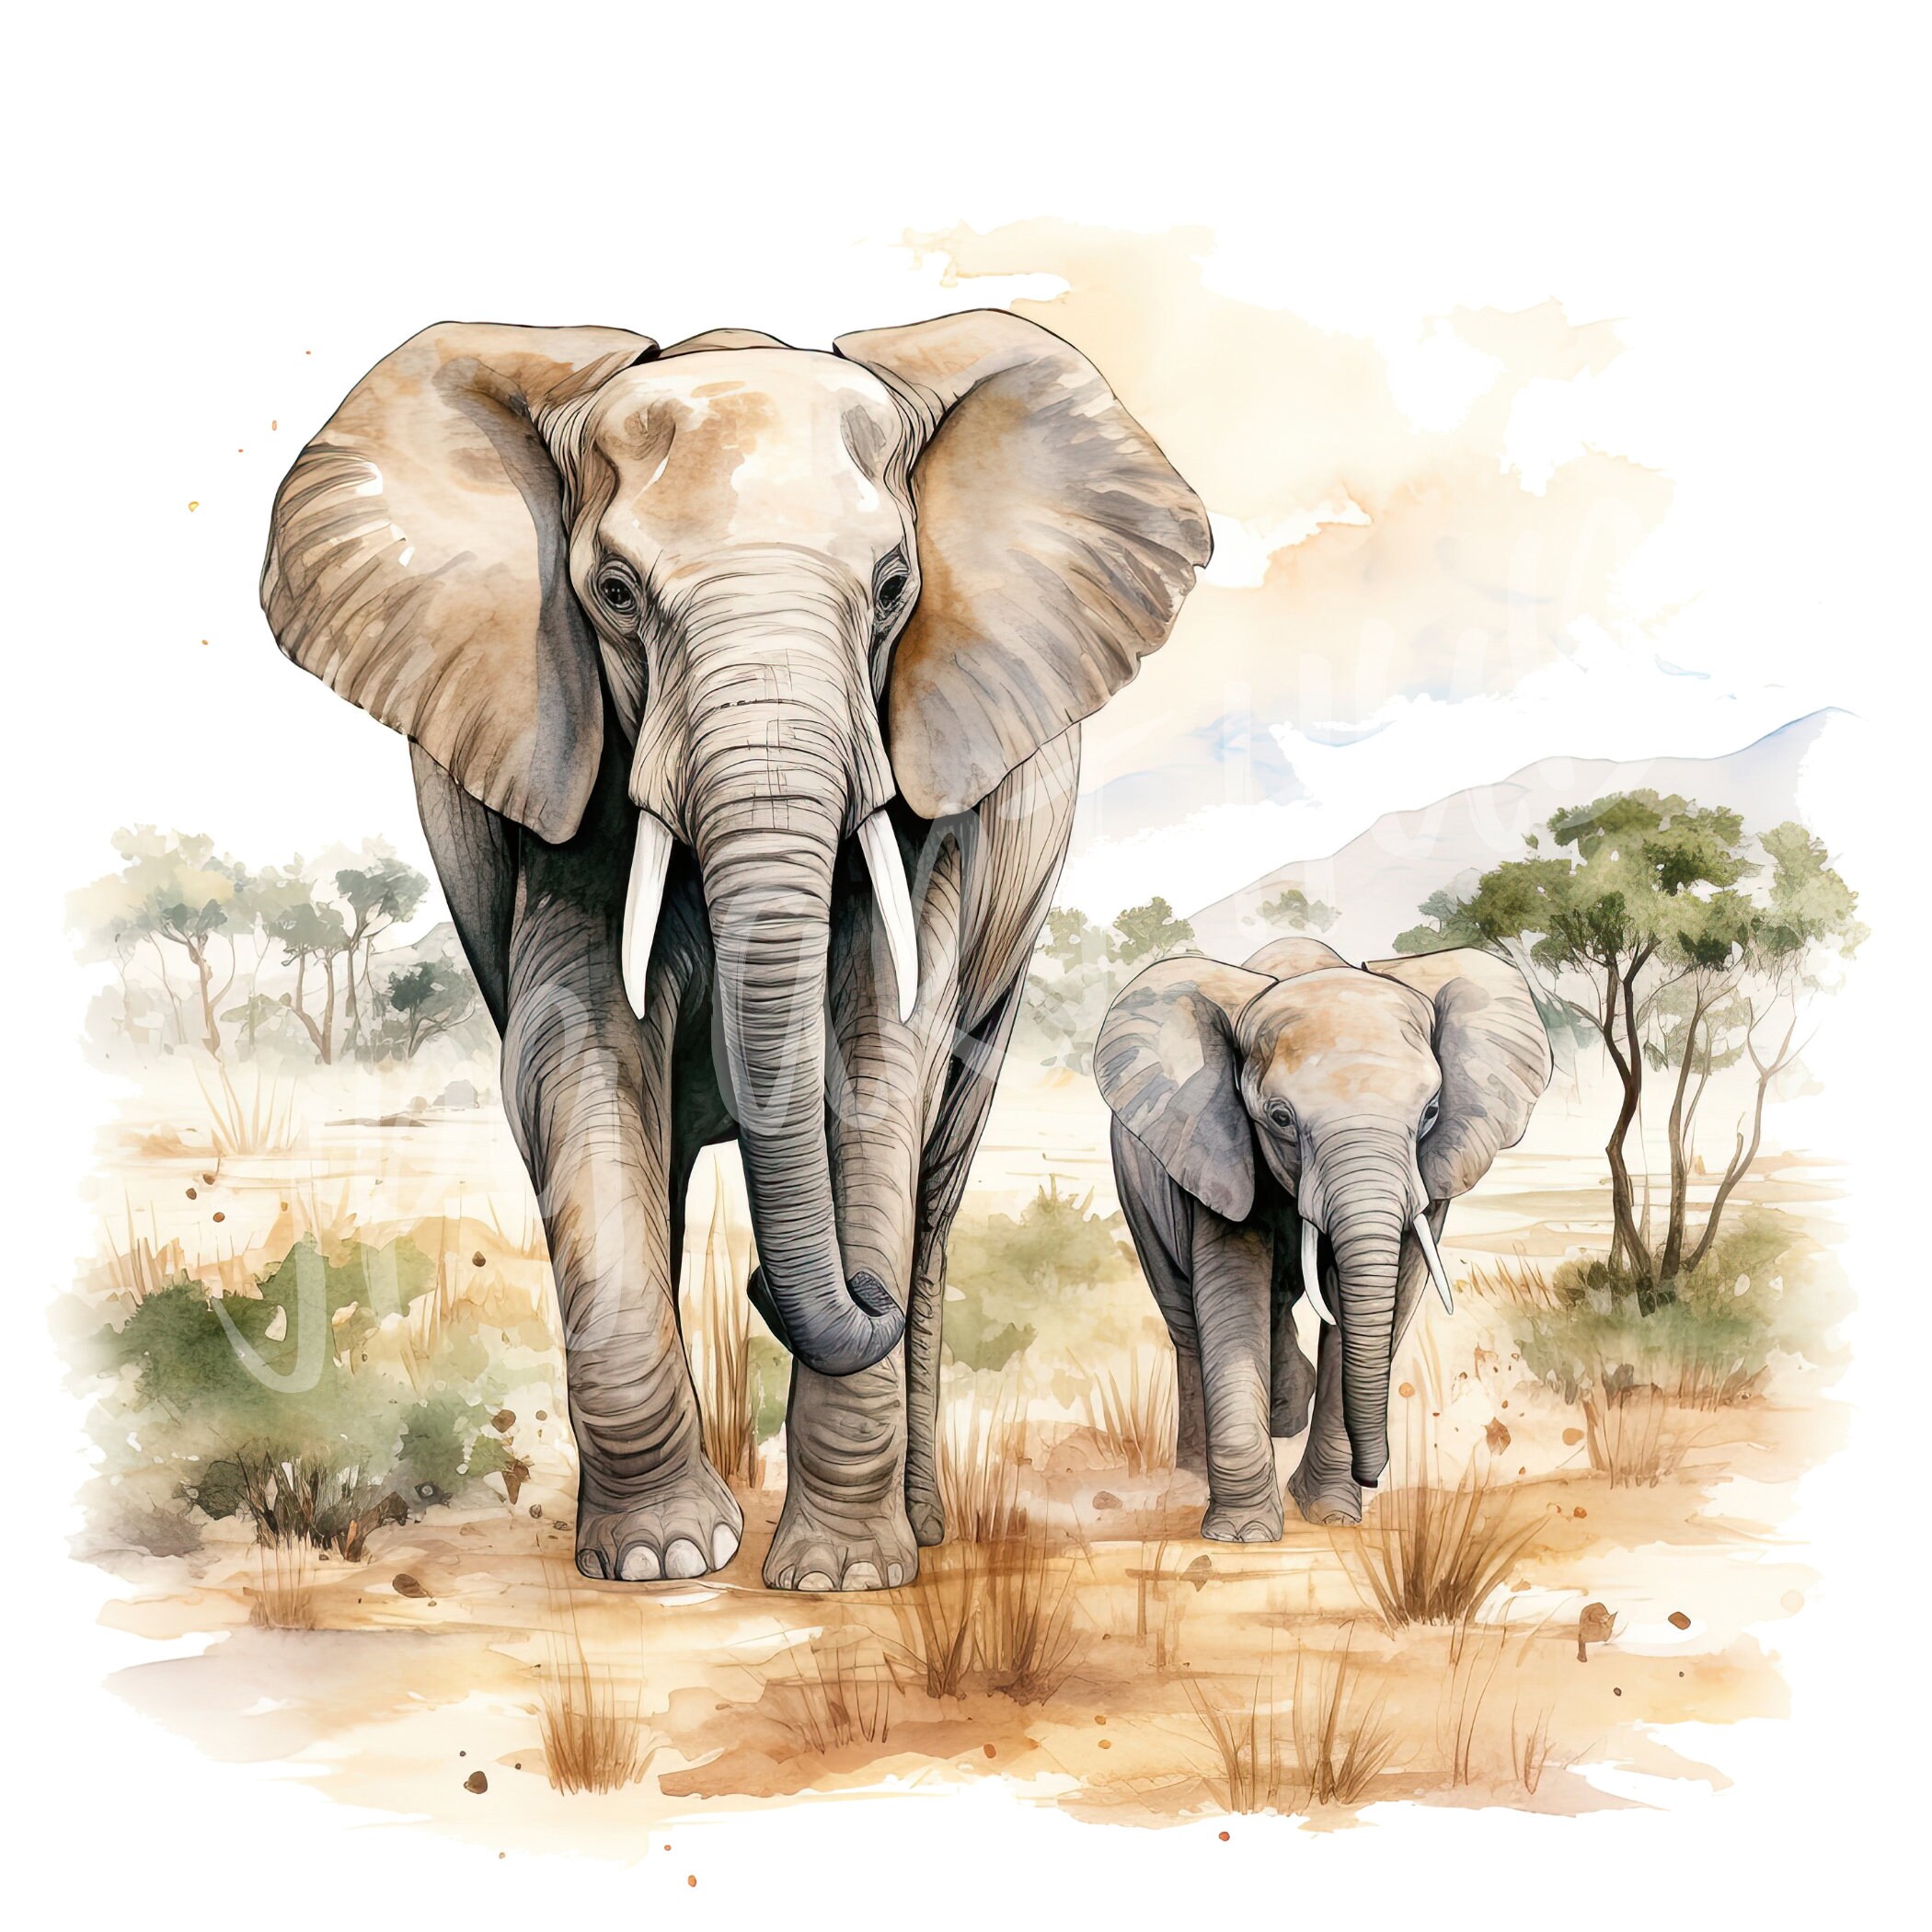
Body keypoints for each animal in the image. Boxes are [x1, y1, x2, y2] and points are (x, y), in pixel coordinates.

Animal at [261, 311, 1209, 1589]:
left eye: (894, 588)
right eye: (614, 594)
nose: (776, 1279)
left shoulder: (930, 801)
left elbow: (881, 1054)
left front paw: (842, 1576)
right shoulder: (567, 777)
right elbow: (578, 1053)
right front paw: (664, 1559)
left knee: (938, 1174)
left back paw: (921, 1523)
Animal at [1095, 938, 1550, 1537]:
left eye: (1431, 1110)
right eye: (1280, 1118)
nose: (1374, 1474)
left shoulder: (1432, 1169)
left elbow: (1393, 1287)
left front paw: (1332, 1515)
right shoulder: (1215, 1146)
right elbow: (1232, 1293)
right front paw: (1242, 1535)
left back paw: (1285, 1418)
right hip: (1136, 1183)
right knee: (1187, 1320)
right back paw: (1190, 1481)